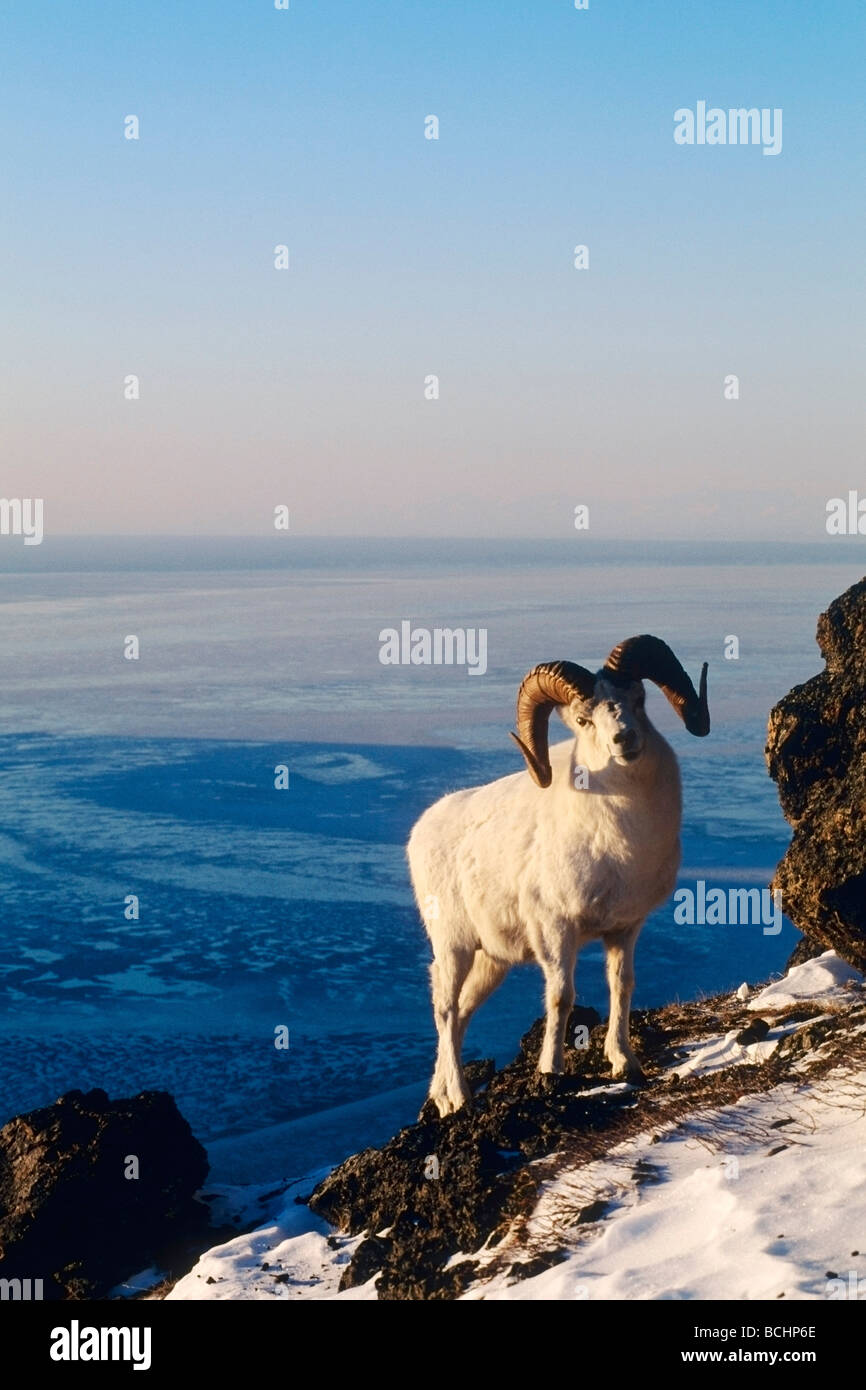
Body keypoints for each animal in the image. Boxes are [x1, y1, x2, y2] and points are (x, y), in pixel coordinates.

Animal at [407, 634, 710, 1116]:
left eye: (638, 699)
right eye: (584, 720)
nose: (625, 740)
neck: (621, 838)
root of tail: (421, 832)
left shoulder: (624, 929)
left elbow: (621, 986)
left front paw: (625, 1062)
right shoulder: (556, 930)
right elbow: (561, 997)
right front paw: (551, 1073)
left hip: (491, 961)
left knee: (462, 1014)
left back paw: (442, 1099)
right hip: (454, 946)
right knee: (447, 1011)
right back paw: (459, 1099)